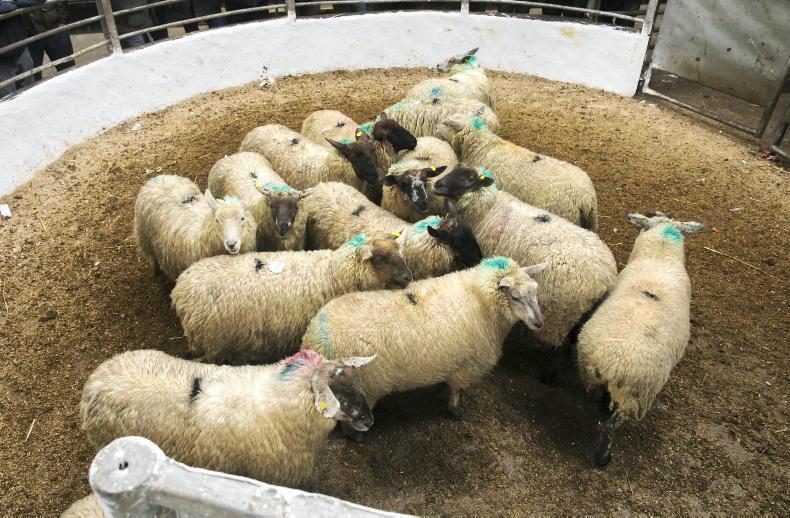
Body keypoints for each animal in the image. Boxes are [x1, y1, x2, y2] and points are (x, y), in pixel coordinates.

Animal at [302, 257, 547, 434]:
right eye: (515, 296)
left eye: (536, 291)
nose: (539, 323)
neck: (481, 299)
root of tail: (318, 340)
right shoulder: (468, 365)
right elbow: (456, 390)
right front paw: (454, 409)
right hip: (367, 386)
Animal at [575, 212, 702, 467]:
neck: (660, 257)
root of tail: (614, 364)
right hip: (634, 396)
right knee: (609, 426)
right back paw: (603, 457)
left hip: (590, 373)